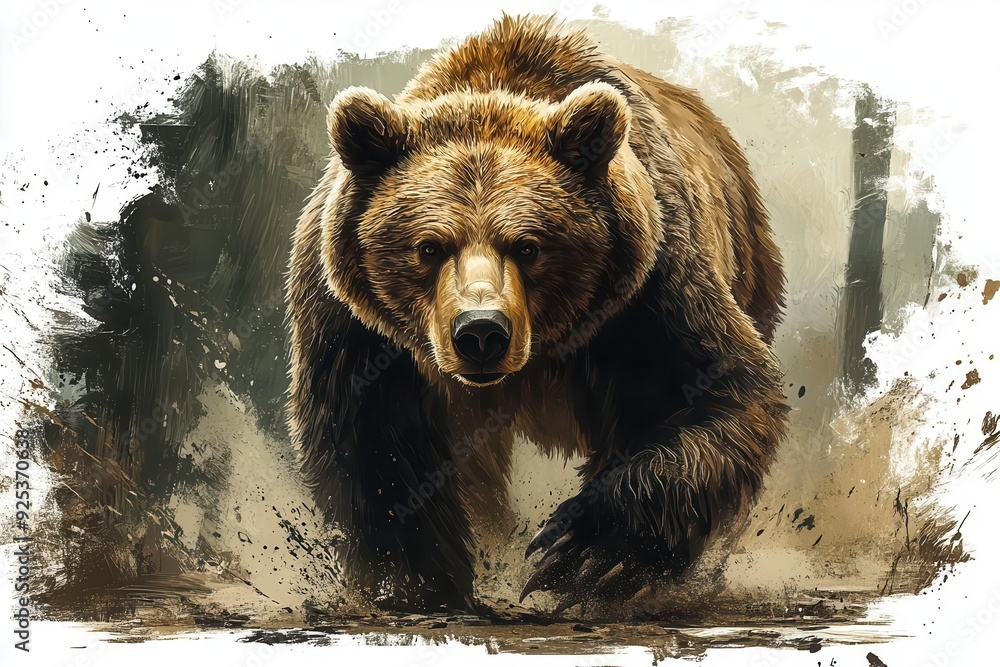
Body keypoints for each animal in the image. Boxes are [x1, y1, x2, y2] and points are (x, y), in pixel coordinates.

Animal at [286, 14, 788, 614]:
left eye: (528, 246)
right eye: (429, 246)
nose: (481, 332)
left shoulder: (646, 289)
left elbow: (713, 396)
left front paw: (583, 552)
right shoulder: (360, 331)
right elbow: (373, 447)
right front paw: (418, 585)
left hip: (749, 266)